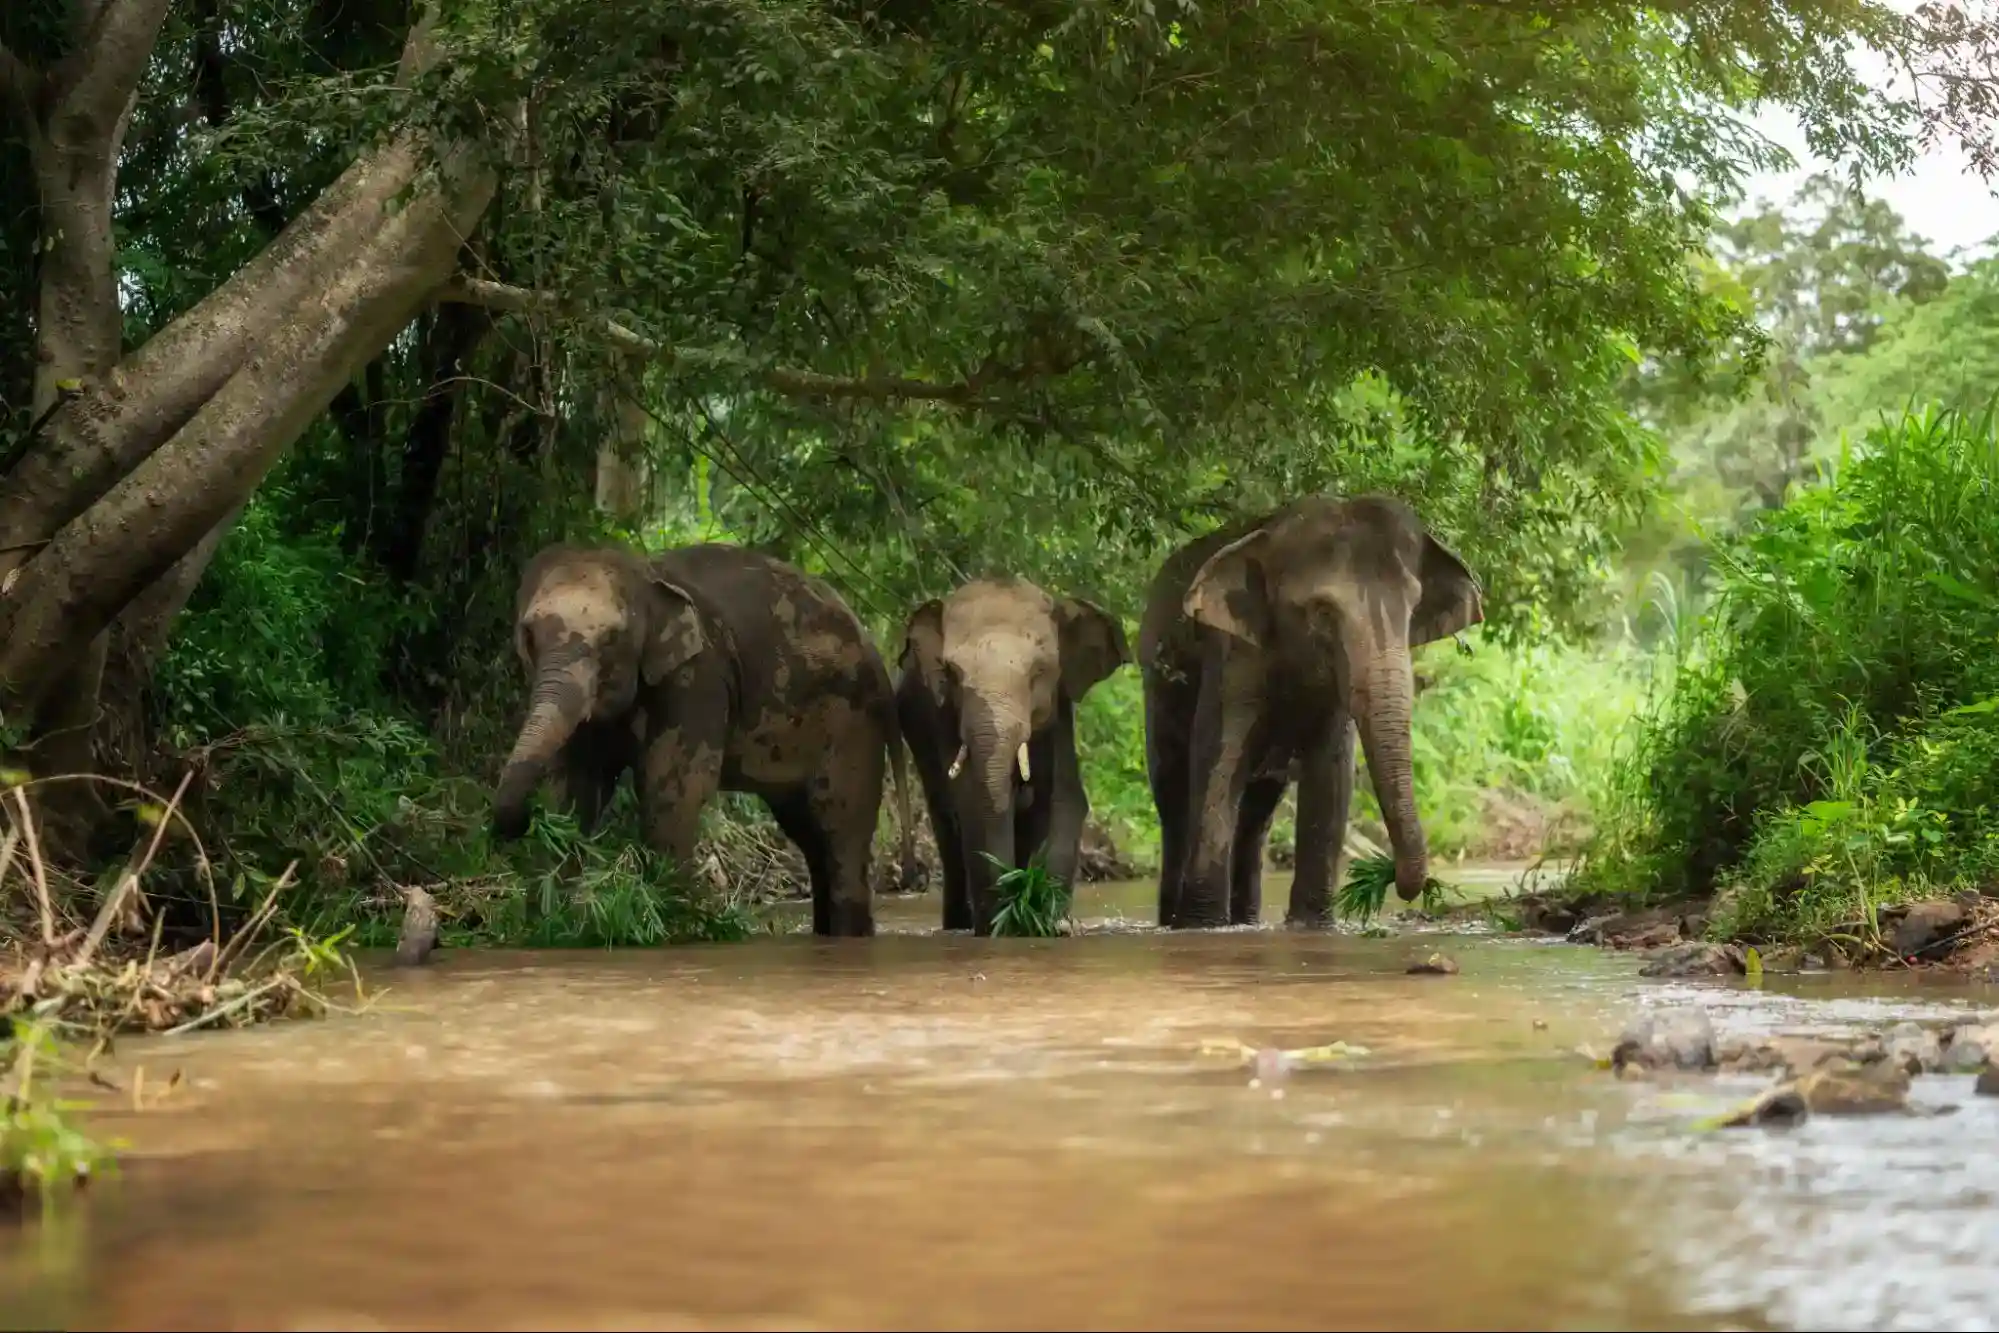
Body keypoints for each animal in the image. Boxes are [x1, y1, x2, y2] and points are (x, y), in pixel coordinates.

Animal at [490, 541, 915, 937]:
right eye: (528, 634)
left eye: (612, 639)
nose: (514, 825)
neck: (645, 575)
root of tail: (877, 653)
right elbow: (574, 792)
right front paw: (549, 922)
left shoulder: (697, 677)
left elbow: (672, 792)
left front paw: (673, 924)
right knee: (808, 830)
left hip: (852, 720)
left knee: (839, 823)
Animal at [895, 577, 1130, 934]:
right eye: (952, 673)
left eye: (1039, 671)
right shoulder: (943, 716)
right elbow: (970, 802)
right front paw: (1003, 920)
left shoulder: (1058, 714)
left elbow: (1063, 799)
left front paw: (1047, 918)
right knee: (946, 821)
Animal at [1138, 495, 1483, 930]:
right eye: (1322, 612)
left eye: (1413, 609)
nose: (1398, 883)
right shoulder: (1232, 655)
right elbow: (1218, 760)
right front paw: (1202, 925)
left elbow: (1331, 773)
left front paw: (1311, 925)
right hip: (1157, 688)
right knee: (1174, 800)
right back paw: (1175, 920)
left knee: (1257, 815)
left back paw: (1245, 920)